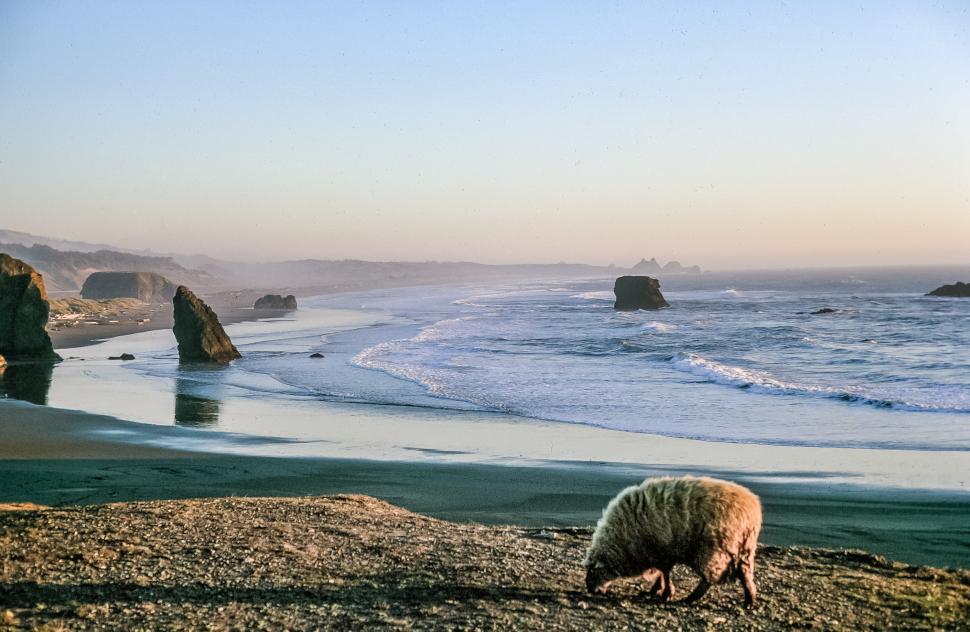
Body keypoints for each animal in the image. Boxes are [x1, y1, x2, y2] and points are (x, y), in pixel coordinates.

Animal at [583, 475, 762, 606]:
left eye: (592, 570)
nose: (589, 590)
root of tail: (752, 509)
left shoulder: (661, 551)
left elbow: (665, 573)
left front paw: (665, 593)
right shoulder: (656, 553)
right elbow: (661, 573)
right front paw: (655, 590)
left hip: (711, 549)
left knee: (709, 578)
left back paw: (691, 598)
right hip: (744, 549)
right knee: (745, 573)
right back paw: (749, 600)